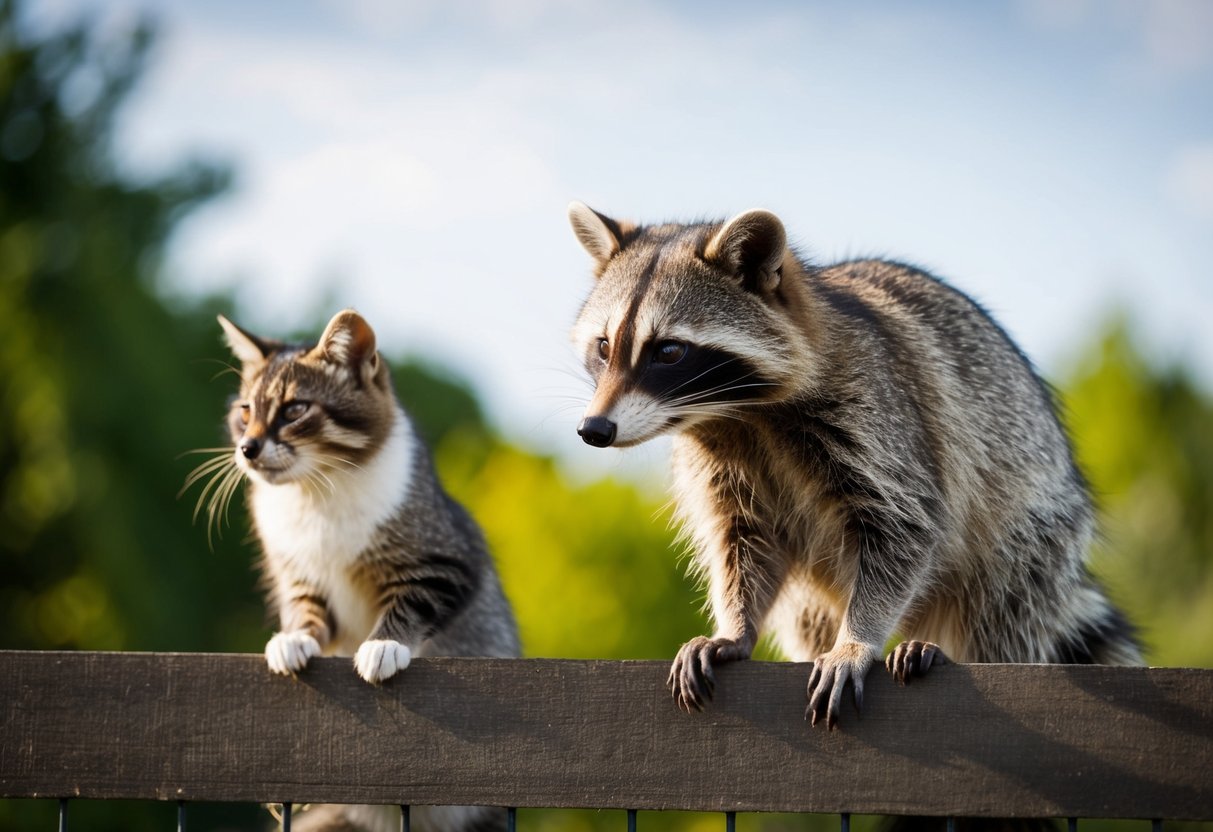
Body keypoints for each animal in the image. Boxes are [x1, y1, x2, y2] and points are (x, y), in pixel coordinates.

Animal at [195, 309, 520, 832]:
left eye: (294, 409)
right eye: (245, 410)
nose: (247, 447)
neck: (316, 490)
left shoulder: (447, 558)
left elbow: (413, 599)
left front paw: (384, 645)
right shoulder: (297, 572)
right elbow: (306, 610)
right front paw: (293, 639)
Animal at [567, 202, 1141, 729]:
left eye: (668, 350)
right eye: (604, 346)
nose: (594, 429)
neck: (739, 413)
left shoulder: (878, 416)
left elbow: (906, 526)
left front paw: (856, 639)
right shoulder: (722, 463)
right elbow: (742, 540)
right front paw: (735, 627)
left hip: (1036, 518)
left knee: (1007, 585)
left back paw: (964, 648)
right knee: (804, 609)